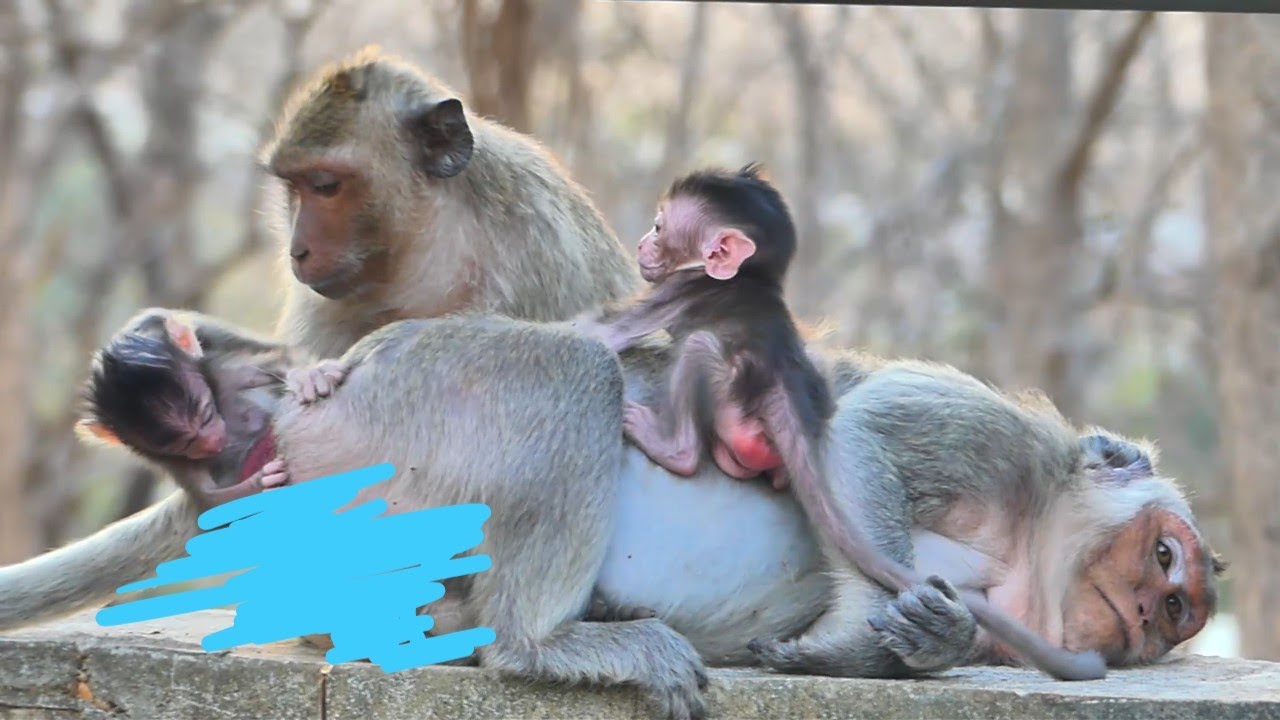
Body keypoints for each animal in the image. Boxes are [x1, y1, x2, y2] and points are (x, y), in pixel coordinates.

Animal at [73, 308, 345, 510]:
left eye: (206, 415)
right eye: (184, 445)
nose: (213, 442)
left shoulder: (225, 365)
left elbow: (282, 359)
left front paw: (308, 376)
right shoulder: (167, 458)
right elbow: (209, 498)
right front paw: (261, 482)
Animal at [577, 166, 1109, 681]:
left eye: (660, 227)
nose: (643, 244)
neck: (750, 278)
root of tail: (787, 394)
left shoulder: (682, 290)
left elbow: (601, 332)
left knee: (700, 350)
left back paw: (673, 445)